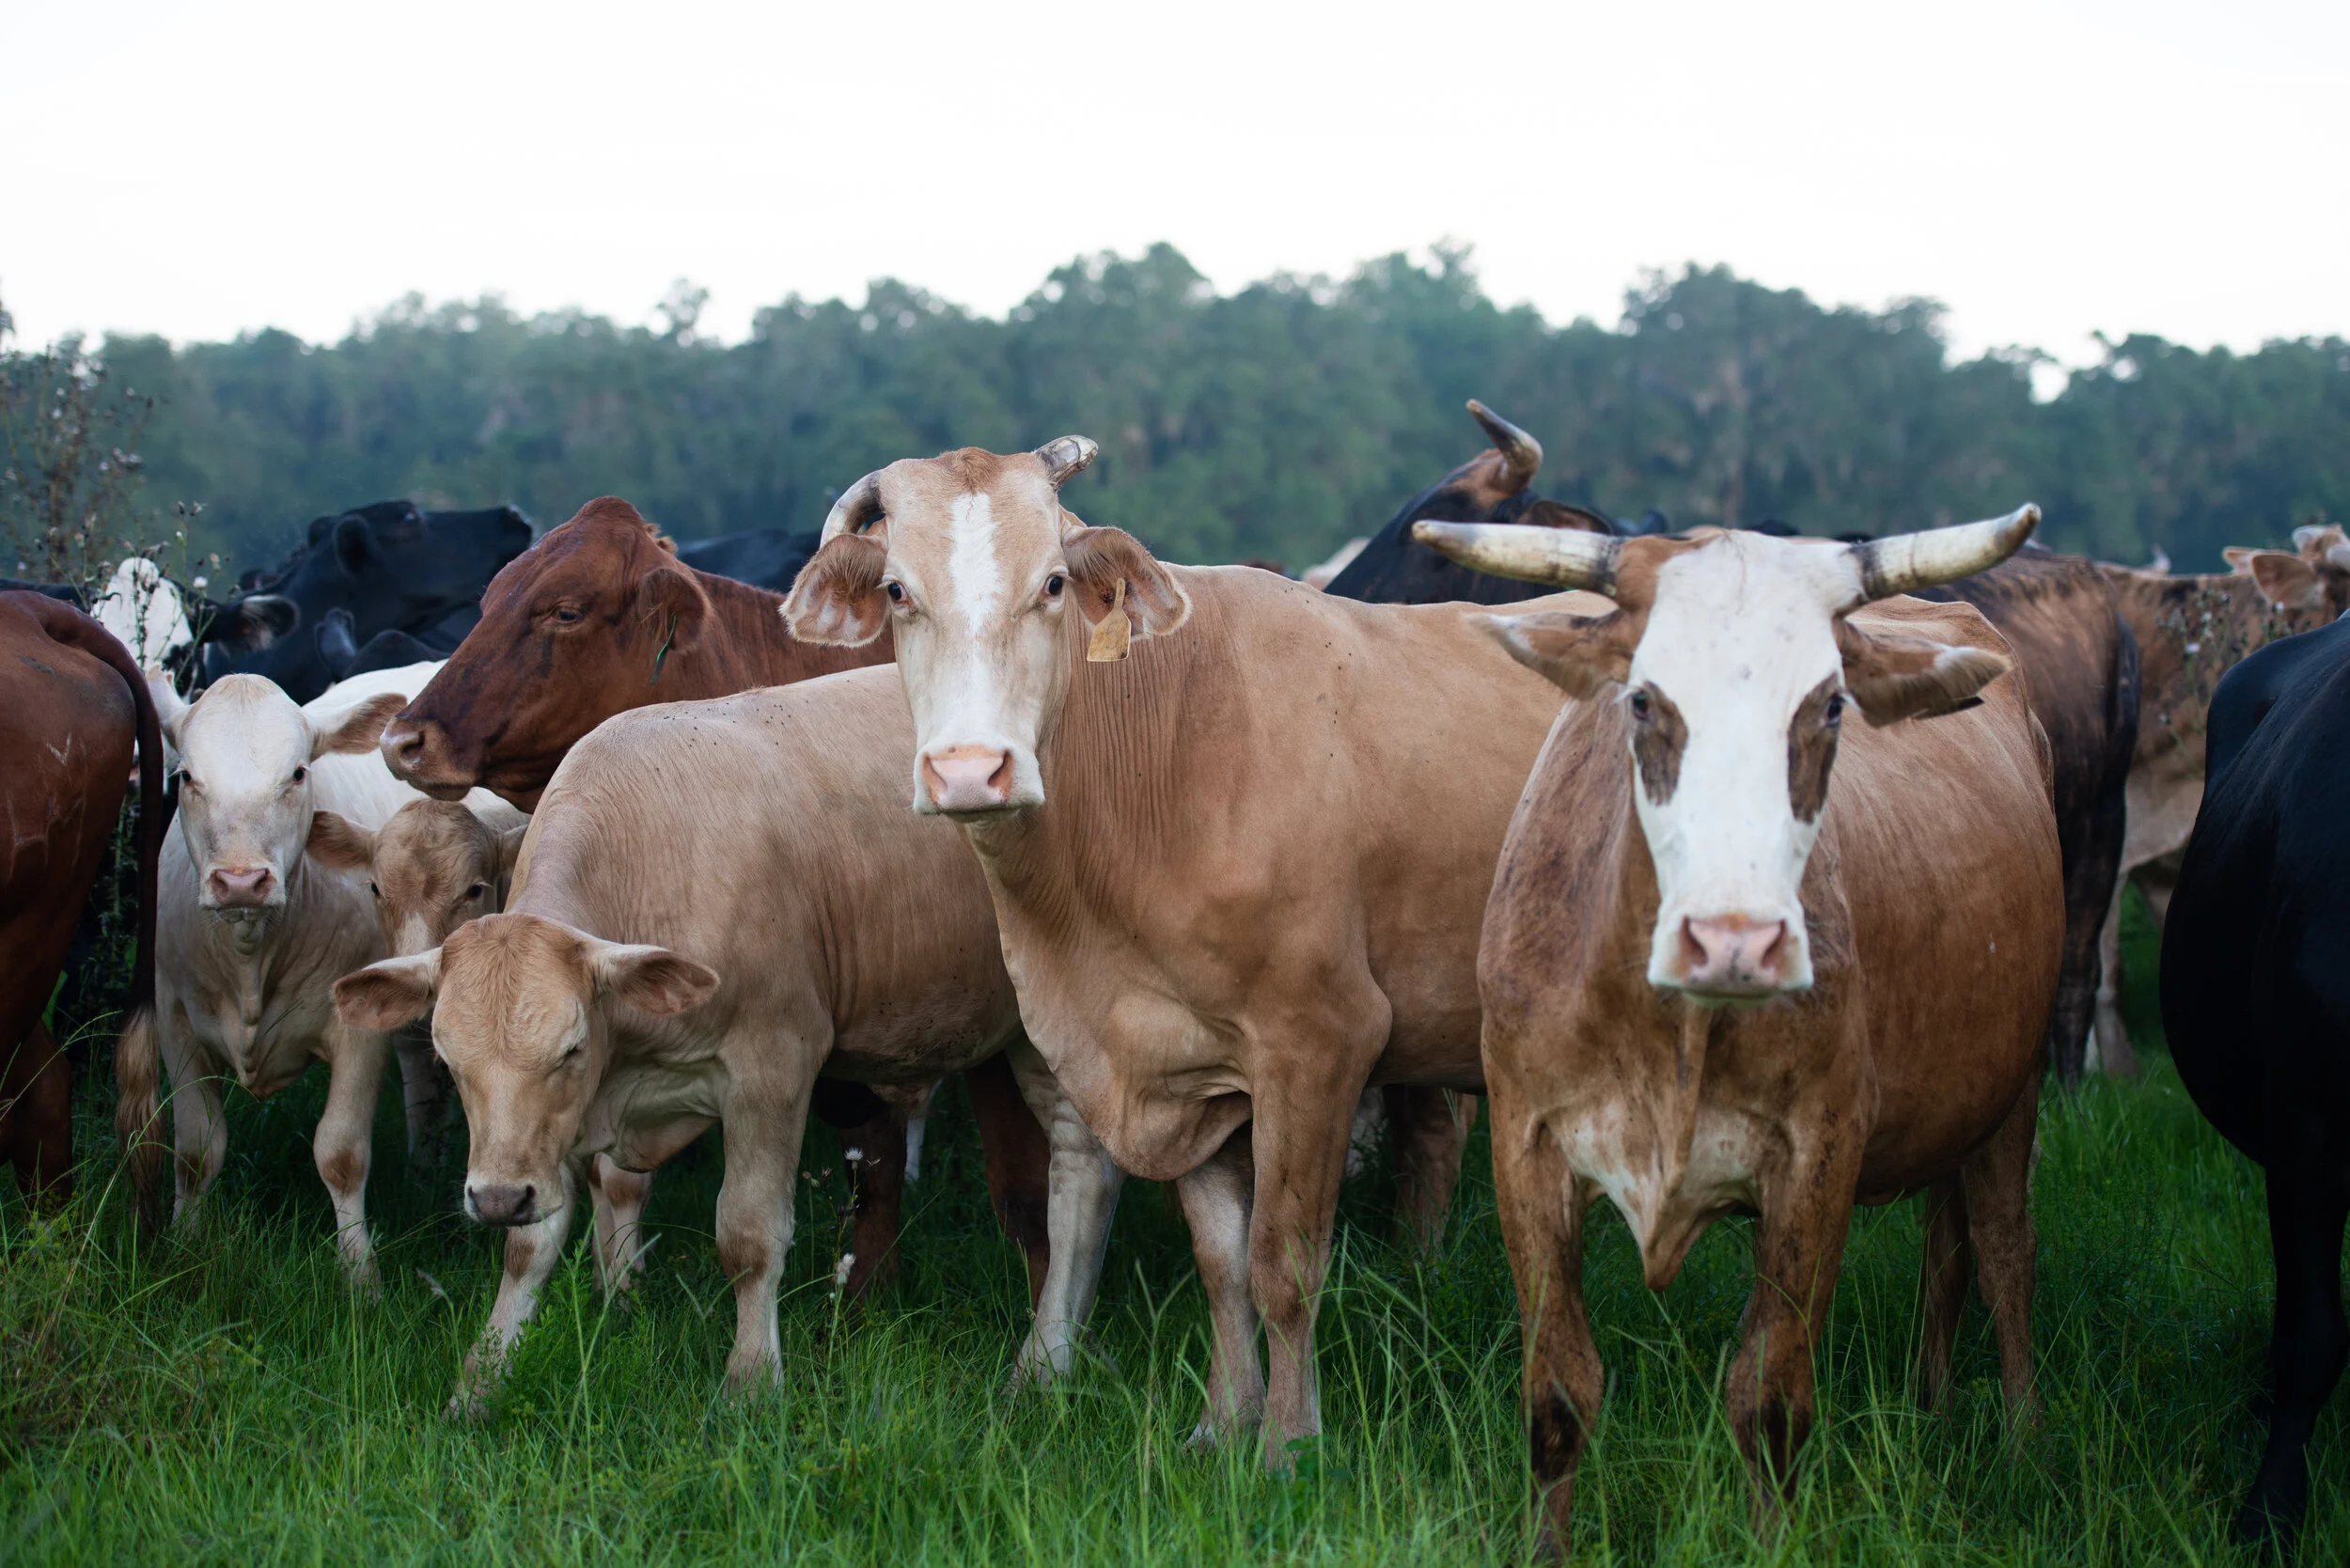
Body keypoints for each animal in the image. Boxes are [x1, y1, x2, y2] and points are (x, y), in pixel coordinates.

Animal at [112, 663, 502, 1275]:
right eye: (186, 777)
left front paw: (360, 1274)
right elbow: (196, 1150)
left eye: (297, 773)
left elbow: (341, 1154)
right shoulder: (175, 1019)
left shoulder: (358, 1027)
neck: (252, 957)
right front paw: (184, 1247)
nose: (241, 881)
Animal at [333, 670, 1110, 1406]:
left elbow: (749, 1236)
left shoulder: (773, 1068)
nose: (493, 1200)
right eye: (451, 1061)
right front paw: (481, 1381)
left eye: (571, 1049)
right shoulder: (540, 1136)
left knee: (1077, 1182)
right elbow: (528, 1246)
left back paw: (1042, 1365)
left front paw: (752, 1381)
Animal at [781, 439, 1577, 1463]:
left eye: (1051, 584)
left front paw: (1286, 1444)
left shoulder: (1319, 1043)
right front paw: (1221, 1423)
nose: (967, 771)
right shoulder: (1184, 1065)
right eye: (895, 591)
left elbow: (1283, 1263)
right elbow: (1221, 1259)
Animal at [1408, 510, 2062, 1552]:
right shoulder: (1525, 1145)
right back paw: (1933, 1404)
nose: (1734, 940)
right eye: (1642, 700)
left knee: (2005, 1252)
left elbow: (1769, 1397)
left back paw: (2024, 1440)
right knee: (1949, 1248)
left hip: (2016, 1086)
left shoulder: (1816, 1162)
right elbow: (1558, 1392)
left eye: (1830, 707)